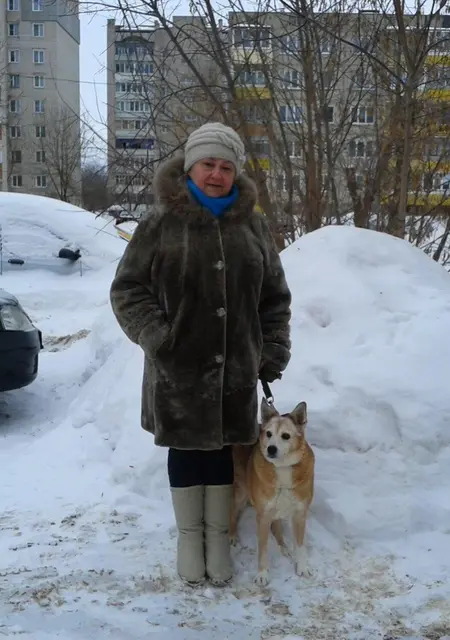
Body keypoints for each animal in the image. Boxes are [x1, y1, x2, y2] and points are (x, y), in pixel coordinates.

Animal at [230, 398, 315, 586]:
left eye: (286, 436)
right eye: (268, 434)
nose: (271, 449)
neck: (282, 468)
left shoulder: (300, 513)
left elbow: (301, 546)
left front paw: (302, 567)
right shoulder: (262, 516)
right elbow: (262, 550)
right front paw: (262, 574)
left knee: (276, 525)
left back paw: (283, 545)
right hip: (240, 492)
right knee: (231, 513)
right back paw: (232, 535)